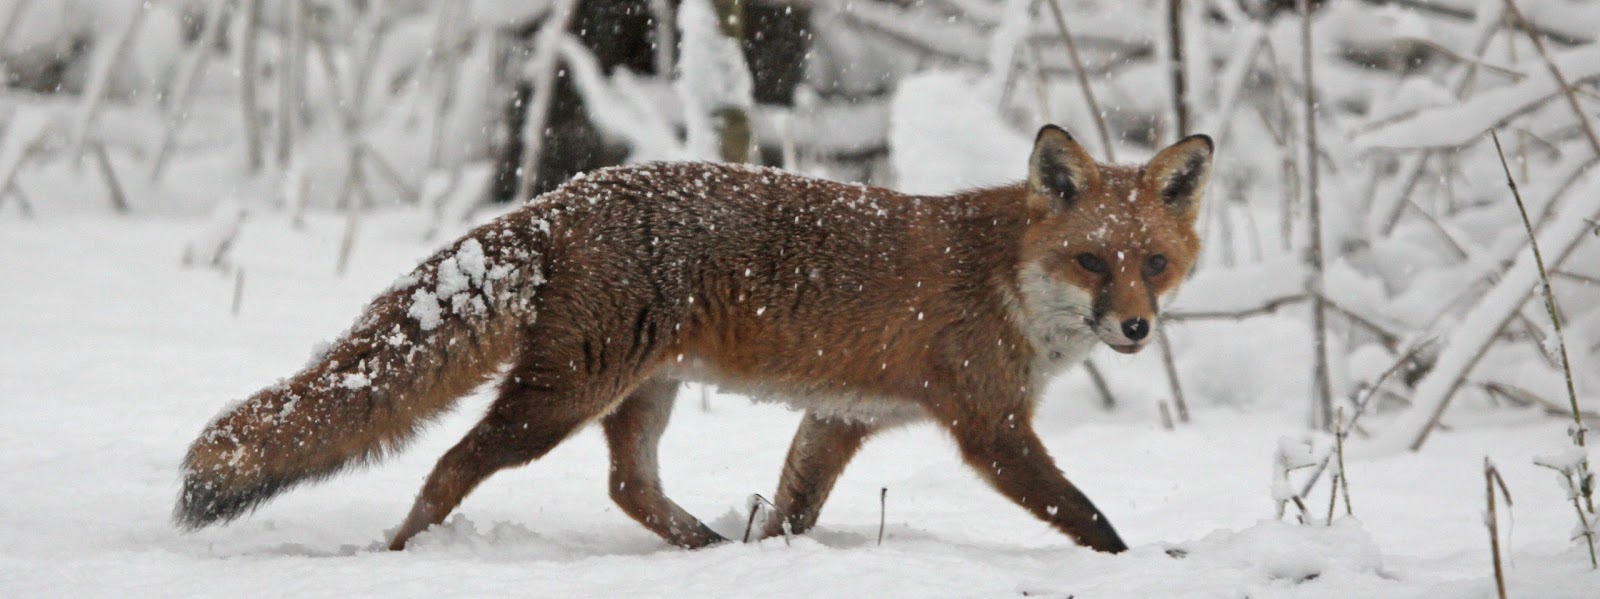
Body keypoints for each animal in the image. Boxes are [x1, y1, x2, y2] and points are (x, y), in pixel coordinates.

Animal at [177, 124, 1213, 555]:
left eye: (1154, 265)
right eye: (1092, 261)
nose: (1134, 326)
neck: (1004, 280)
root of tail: (566, 194)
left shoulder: (842, 417)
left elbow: (793, 510)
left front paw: (767, 559)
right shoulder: (989, 426)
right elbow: (1088, 516)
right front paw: (1136, 568)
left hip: (642, 391)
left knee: (629, 487)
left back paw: (706, 547)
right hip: (561, 398)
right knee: (450, 465)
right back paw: (399, 555)